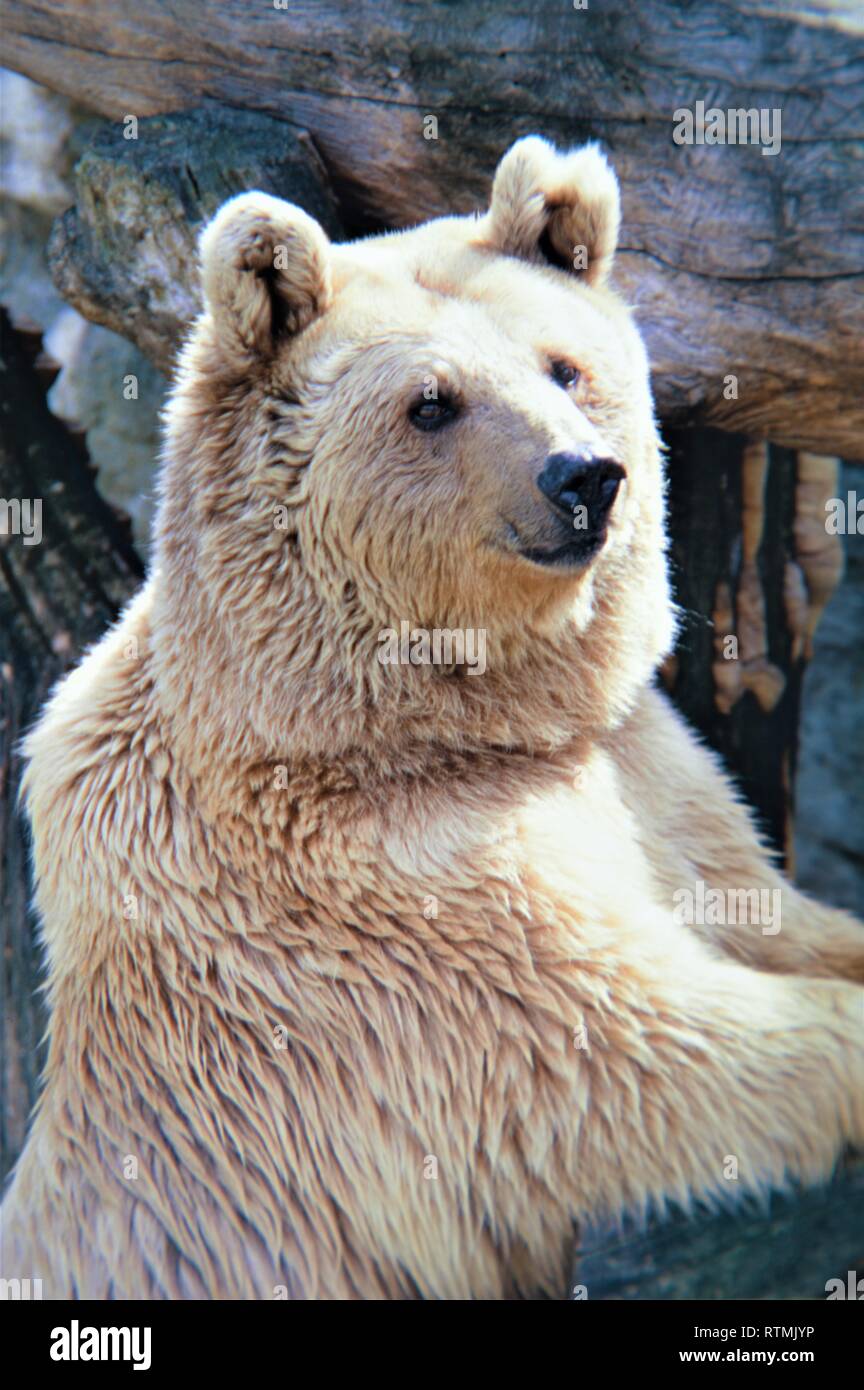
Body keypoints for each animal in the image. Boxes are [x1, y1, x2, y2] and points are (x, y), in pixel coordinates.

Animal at [1, 135, 863, 1301]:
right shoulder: (386, 904)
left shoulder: (645, 770)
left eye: (564, 365)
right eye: (432, 402)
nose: (584, 476)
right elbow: (621, 1050)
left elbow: (762, 907)